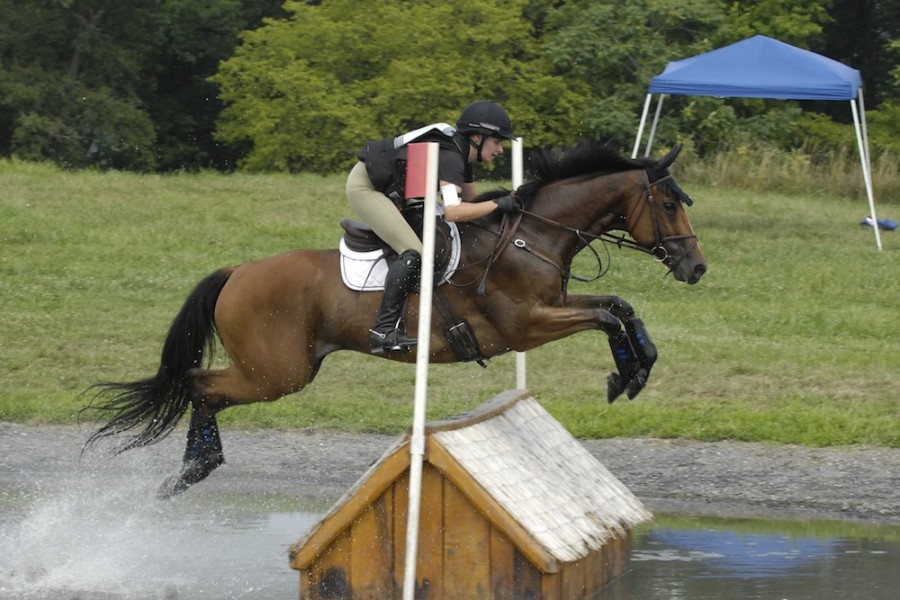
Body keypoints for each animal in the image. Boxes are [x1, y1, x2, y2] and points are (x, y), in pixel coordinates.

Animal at [83, 142, 706, 498]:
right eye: (669, 203)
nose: (696, 267)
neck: (531, 235)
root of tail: (237, 272)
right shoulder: (525, 325)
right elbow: (608, 314)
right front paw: (627, 375)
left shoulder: (547, 312)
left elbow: (618, 308)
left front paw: (634, 370)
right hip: (276, 374)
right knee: (200, 385)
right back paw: (195, 468)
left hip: (282, 371)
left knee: (200, 386)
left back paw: (191, 470)